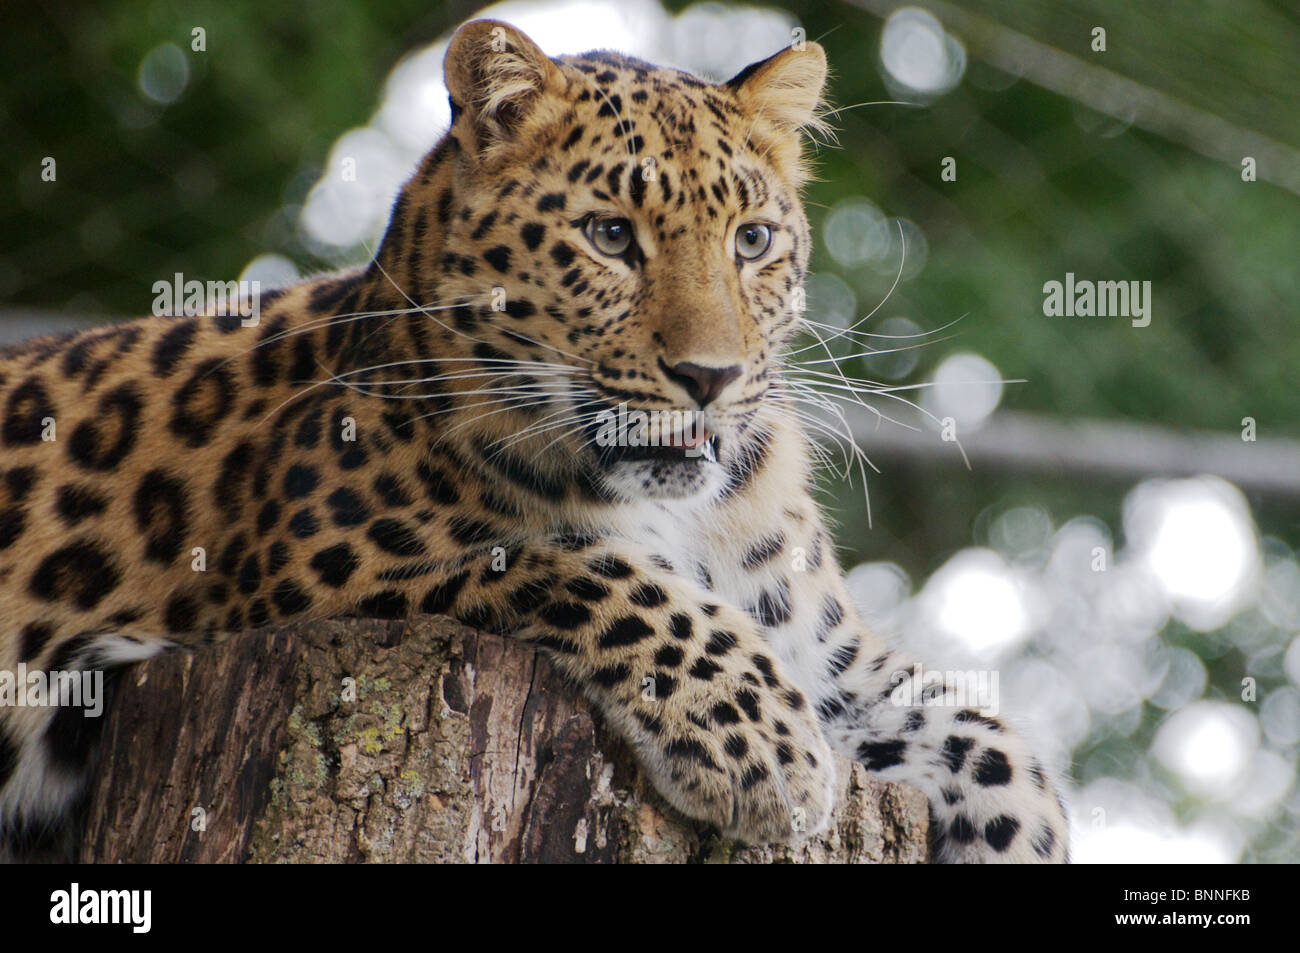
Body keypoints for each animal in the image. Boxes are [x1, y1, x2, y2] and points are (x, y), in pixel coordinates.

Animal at [0, 18, 1068, 863]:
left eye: (753, 241)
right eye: (611, 235)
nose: (712, 377)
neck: (692, 514)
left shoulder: (832, 659)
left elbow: (981, 729)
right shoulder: (314, 561)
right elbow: (593, 569)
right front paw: (765, 751)